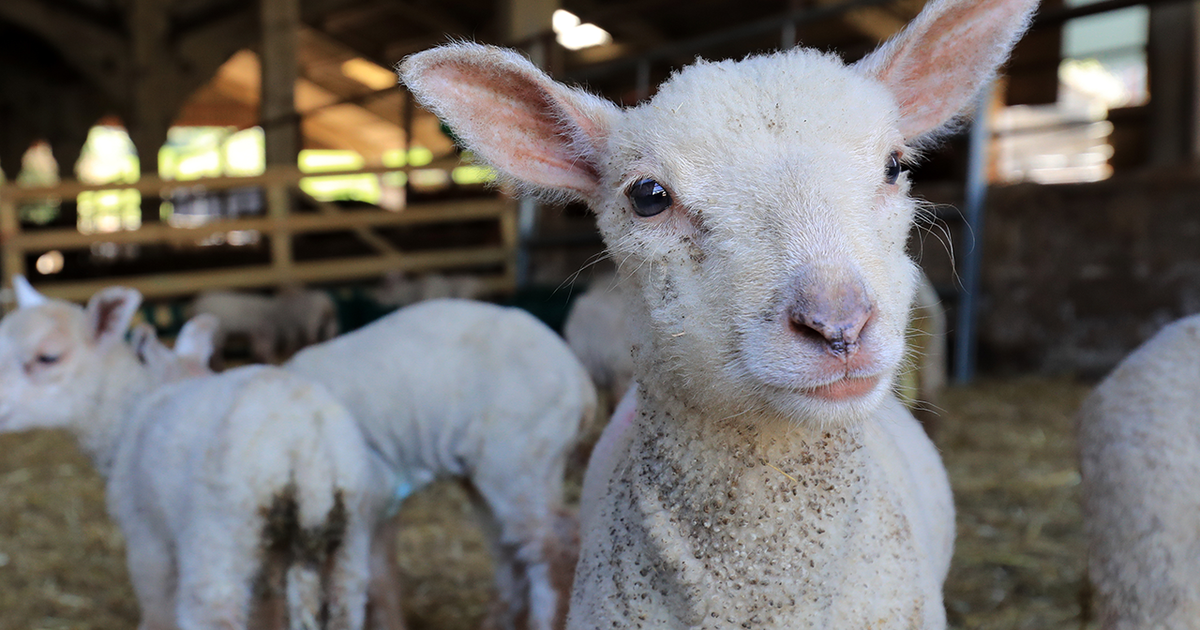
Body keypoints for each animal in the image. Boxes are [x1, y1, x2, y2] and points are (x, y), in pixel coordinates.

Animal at [0, 276, 382, 630]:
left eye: (48, 357)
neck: (127, 414)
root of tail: (307, 449)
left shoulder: (146, 543)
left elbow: (156, 616)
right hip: (348, 551)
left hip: (217, 549)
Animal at [286, 298, 596, 630]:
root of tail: (579, 379)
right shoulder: (380, 503)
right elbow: (381, 579)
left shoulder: (362, 498)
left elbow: (355, 586)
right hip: (510, 471)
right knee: (511, 558)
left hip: (518, 459)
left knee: (554, 548)